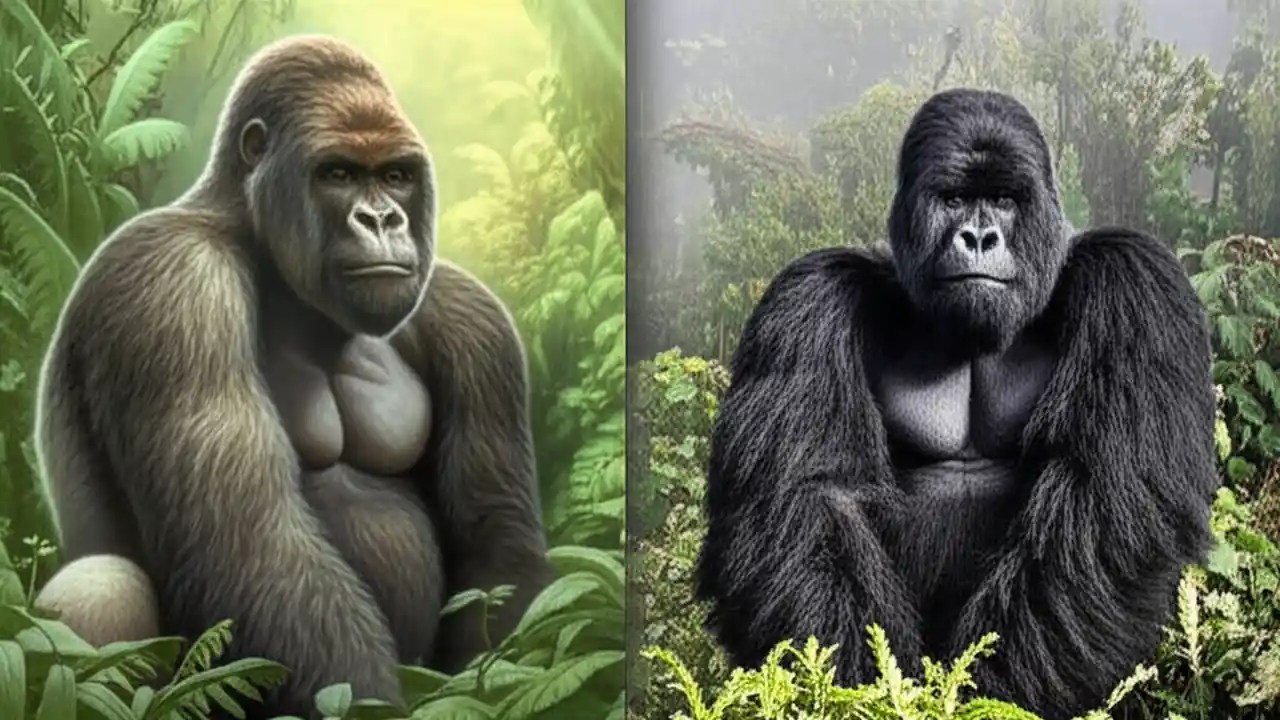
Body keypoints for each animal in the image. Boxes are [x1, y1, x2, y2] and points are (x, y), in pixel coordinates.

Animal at [32, 35, 553, 717]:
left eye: (396, 175)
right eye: (338, 173)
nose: (382, 220)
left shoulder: (472, 318)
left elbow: (497, 550)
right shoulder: (172, 280)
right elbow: (250, 547)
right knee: (103, 586)